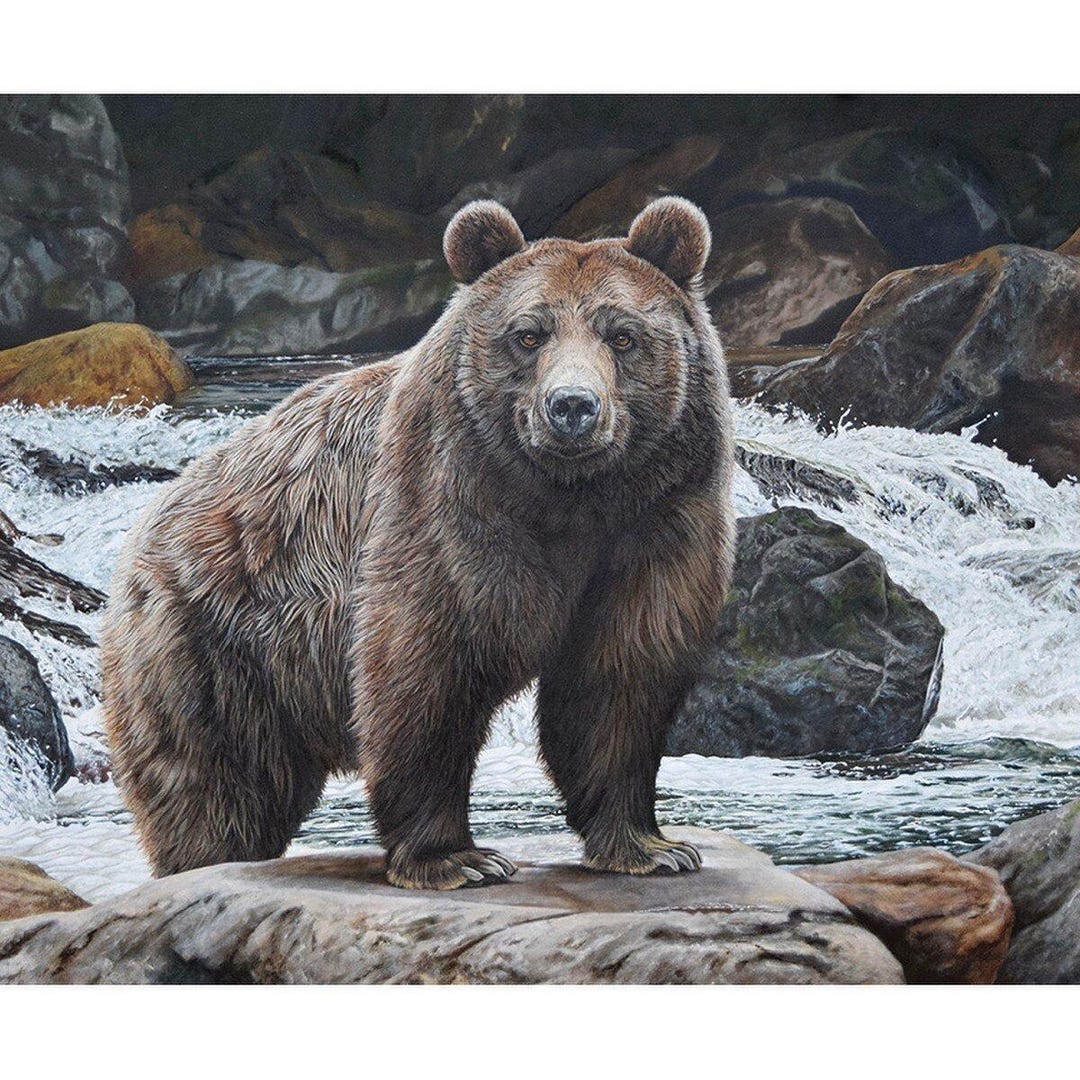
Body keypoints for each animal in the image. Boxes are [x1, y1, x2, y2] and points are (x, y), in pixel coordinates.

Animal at [101, 196, 736, 889]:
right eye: (528, 334)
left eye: (622, 335)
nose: (572, 407)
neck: (572, 497)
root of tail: (146, 527)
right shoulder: (445, 502)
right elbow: (427, 665)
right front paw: (457, 858)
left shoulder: (658, 520)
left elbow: (619, 674)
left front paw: (650, 846)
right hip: (213, 644)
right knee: (215, 785)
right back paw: (205, 860)